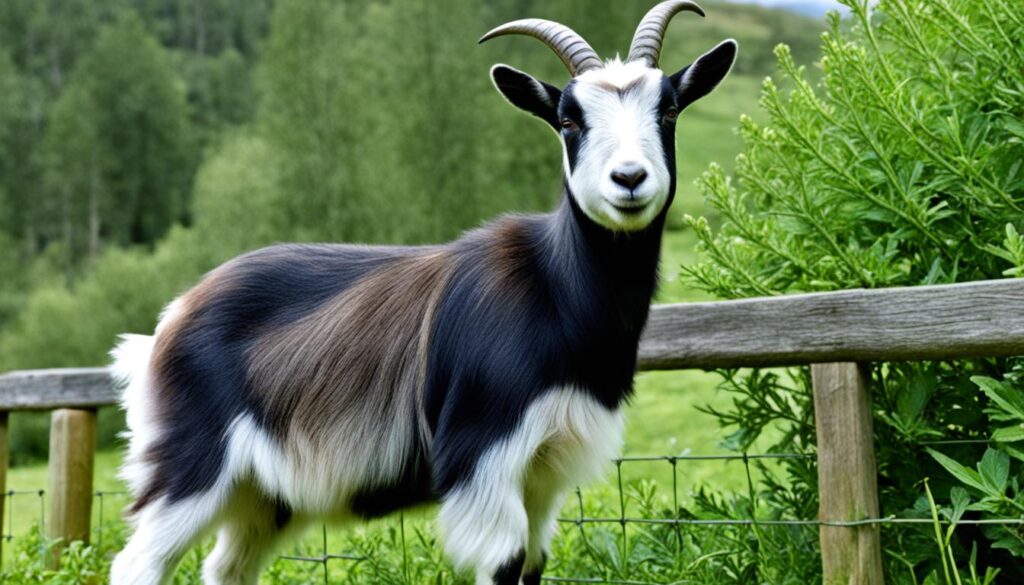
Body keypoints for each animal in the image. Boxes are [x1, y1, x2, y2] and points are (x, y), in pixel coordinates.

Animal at [109, 2, 736, 583]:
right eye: (567, 119)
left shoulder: (544, 473)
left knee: (227, 567)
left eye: (669, 108)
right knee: (139, 562)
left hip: (264, 496)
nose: (629, 179)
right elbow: (506, 562)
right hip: (191, 466)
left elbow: (534, 562)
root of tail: (168, 324)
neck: (556, 290)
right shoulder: (482, 456)